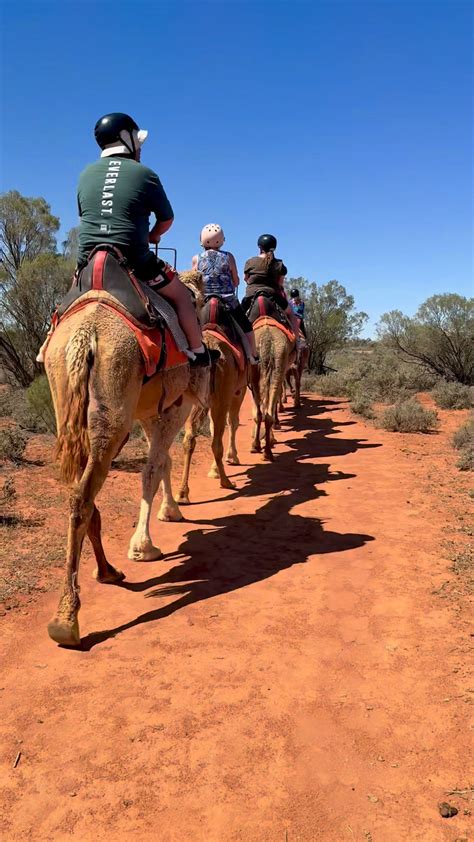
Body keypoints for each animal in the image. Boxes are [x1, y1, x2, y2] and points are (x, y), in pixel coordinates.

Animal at [44, 274, 207, 647]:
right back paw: (67, 617)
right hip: (114, 404)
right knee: (84, 496)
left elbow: (161, 463)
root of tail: (84, 335)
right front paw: (144, 545)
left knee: (80, 495)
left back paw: (105, 573)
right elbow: (153, 467)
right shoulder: (175, 405)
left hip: (68, 403)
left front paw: (168, 514)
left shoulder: (149, 411)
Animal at [177, 286, 248, 503]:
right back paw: (226, 481)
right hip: (222, 396)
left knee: (189, 438)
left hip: (197, 399)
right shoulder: (237, 391)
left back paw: (182, 493)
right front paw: (232, 459)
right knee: (217, 440)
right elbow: (233, 422)